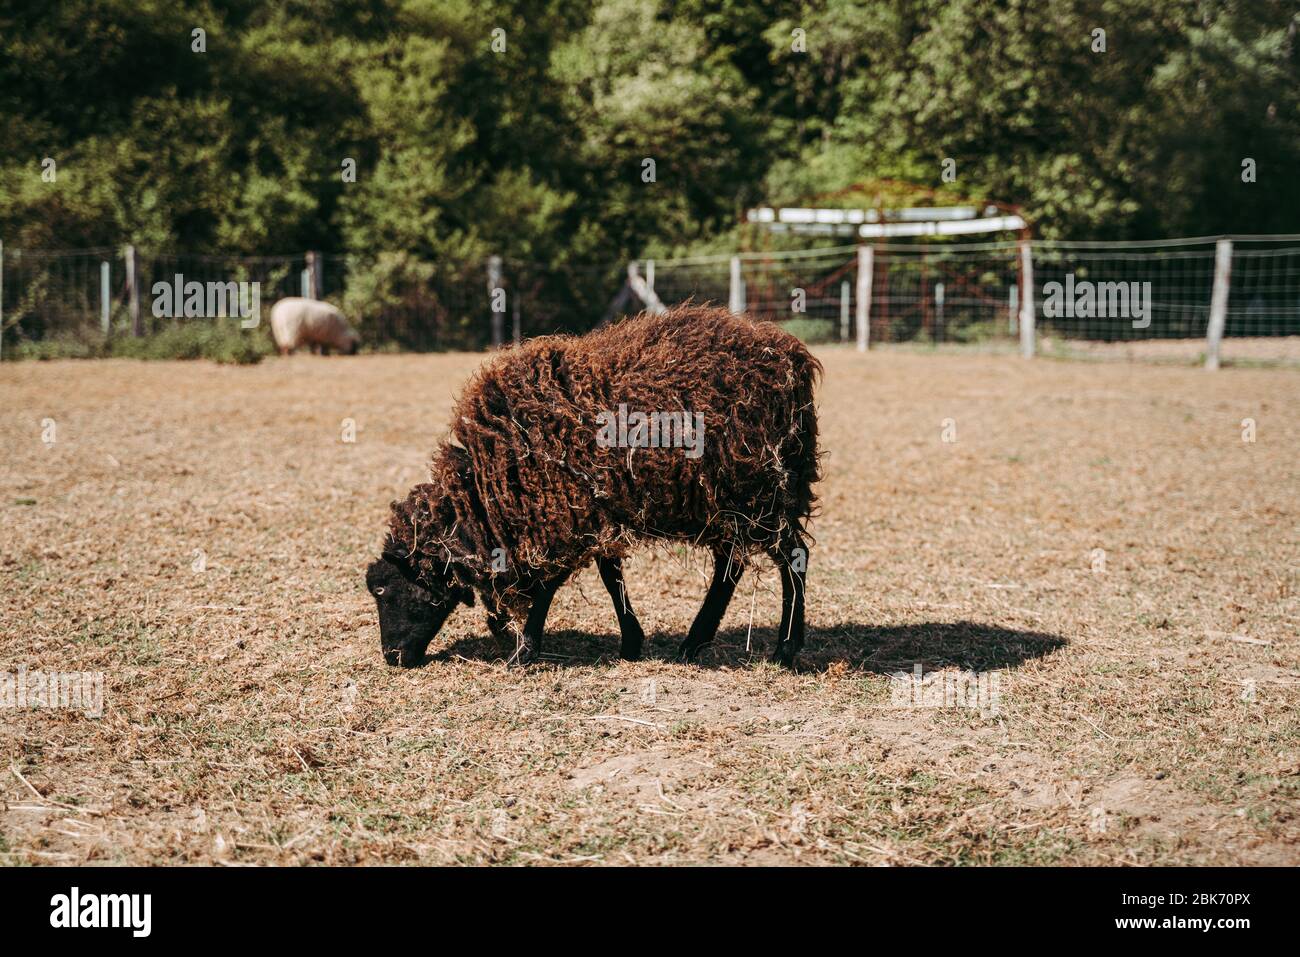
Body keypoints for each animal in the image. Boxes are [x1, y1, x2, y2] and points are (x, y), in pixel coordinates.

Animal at [366, 304, 821, 668]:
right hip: (726, 499)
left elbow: (550, 586)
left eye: (383, 589)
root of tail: (791, 356)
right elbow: (609, 574)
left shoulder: (562, 514)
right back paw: (695, 643)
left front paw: (524, 651)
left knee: (791, 557)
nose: (392, 658)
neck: (486, 490)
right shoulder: (594, 510)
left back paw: (784, 649)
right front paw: (630, 642)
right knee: (732, 565)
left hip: (761, 490)